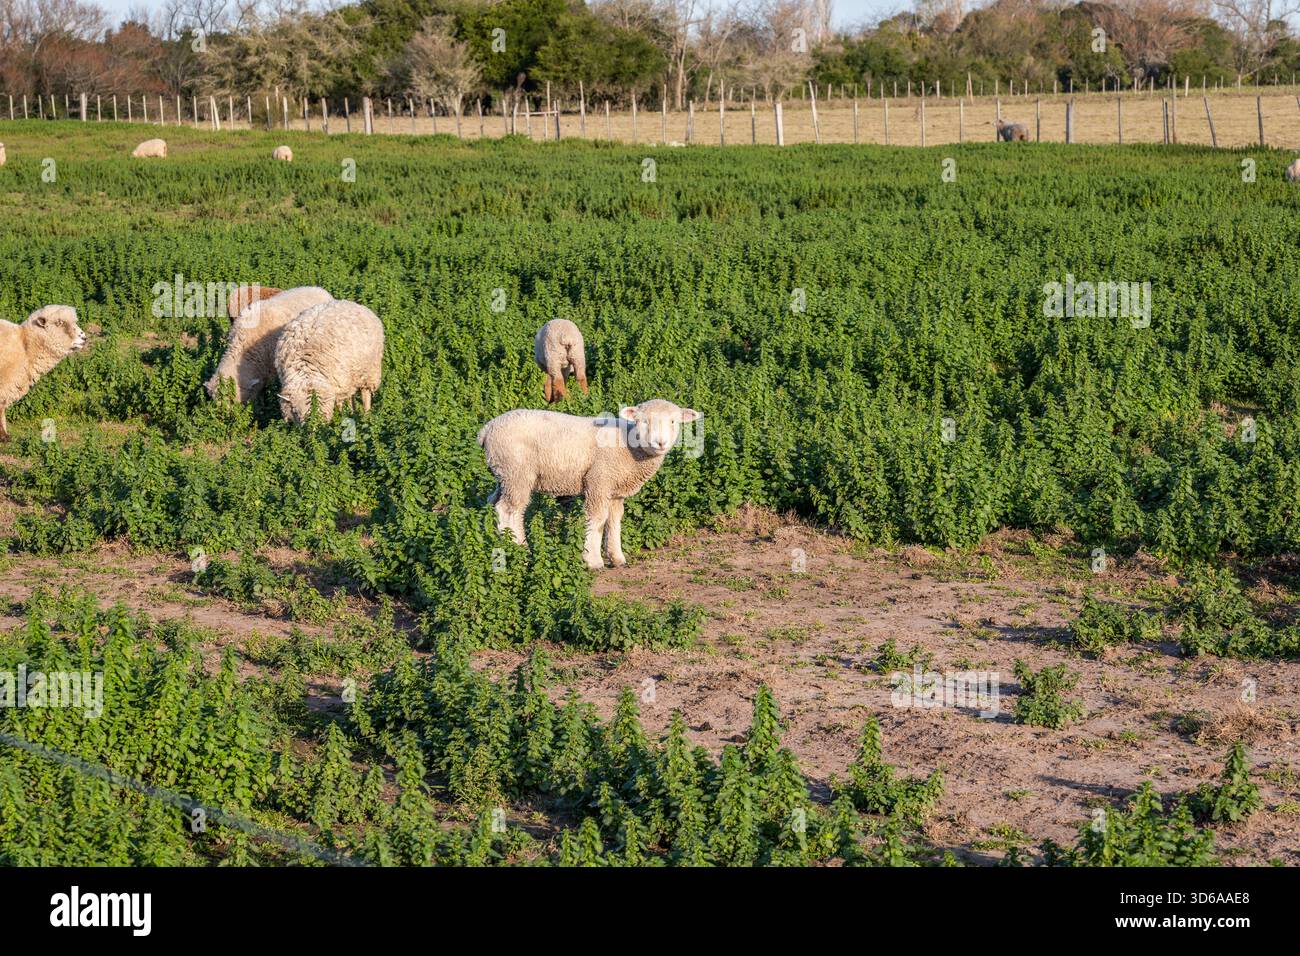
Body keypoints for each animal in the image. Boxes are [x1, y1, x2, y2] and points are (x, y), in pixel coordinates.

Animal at [477, 399, 701, 569]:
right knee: (510, 510)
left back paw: (500, 541)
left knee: (494, 502)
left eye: (673, 421)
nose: (660, 443)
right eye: (643, 421)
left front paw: (617, 557)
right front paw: (592, 560)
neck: (629, 446)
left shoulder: (615, 489)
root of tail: (487, 429)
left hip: (504, 474)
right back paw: (519, 549)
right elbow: (598, 518)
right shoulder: (598, 481)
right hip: (517, 472)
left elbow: (614, 520)